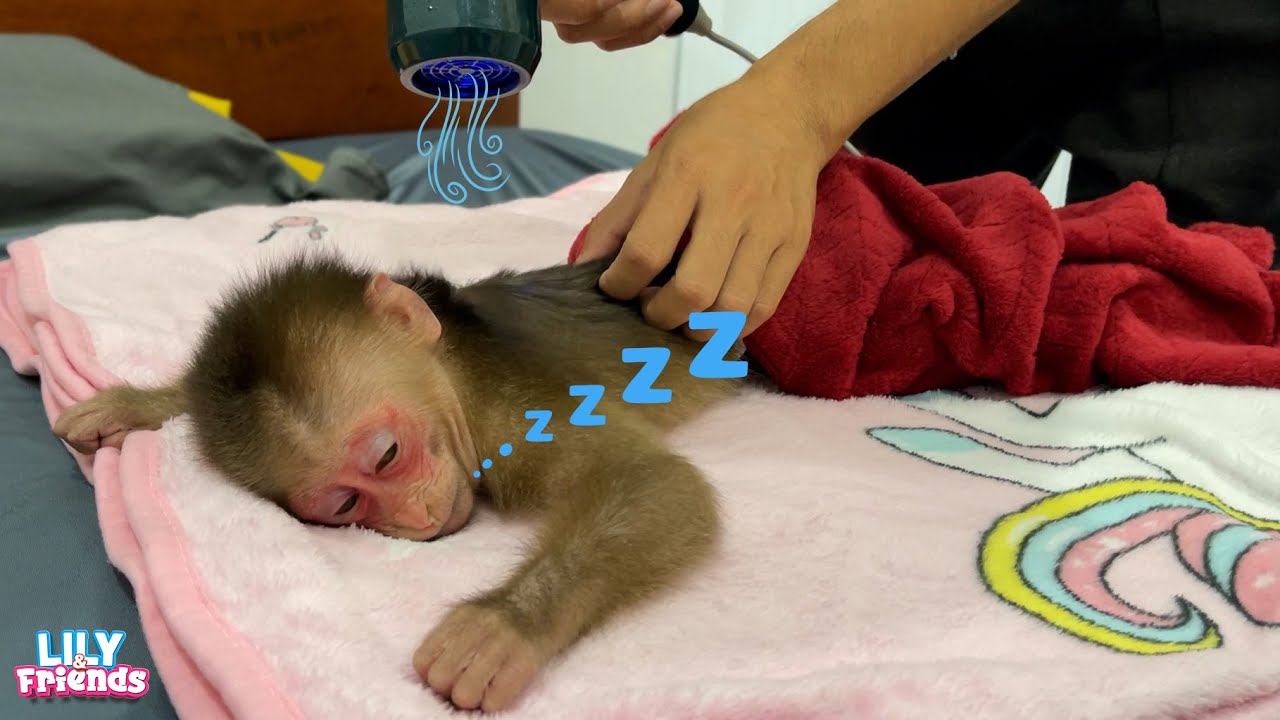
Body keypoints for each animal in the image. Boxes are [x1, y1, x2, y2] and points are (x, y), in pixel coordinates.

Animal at [52, 251, 746, 713]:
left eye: (386, 456)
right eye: (344, 504)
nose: (415, 518)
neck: (462, 370)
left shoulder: (513, 418)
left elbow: (654, 479)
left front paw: (502, 626)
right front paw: (137, 405)